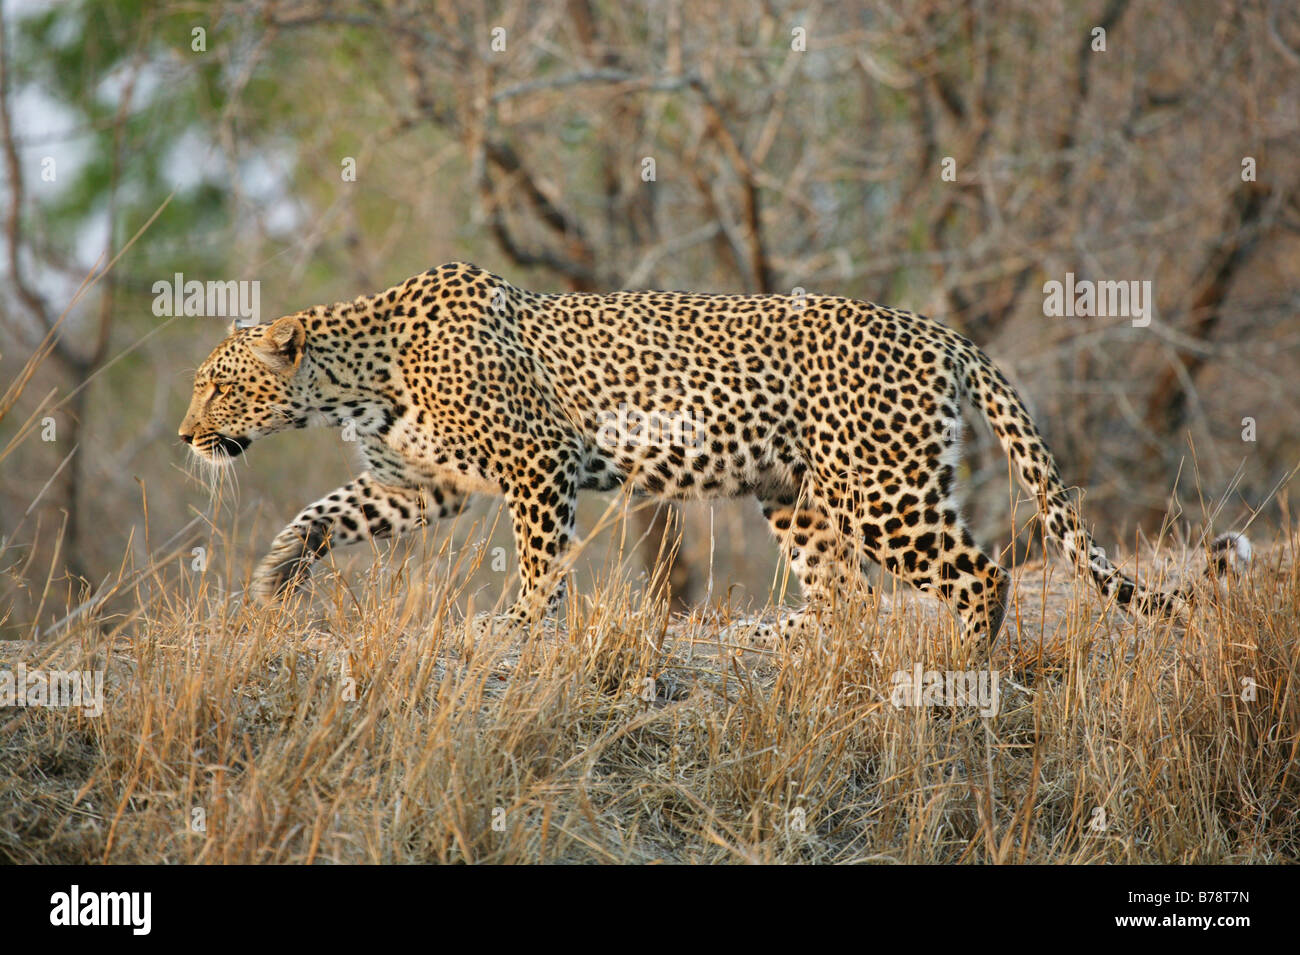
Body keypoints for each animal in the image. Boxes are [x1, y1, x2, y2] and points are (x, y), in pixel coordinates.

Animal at [178, 261, 1248, 643]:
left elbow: (538, 560)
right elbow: (323, 513)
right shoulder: (421, 485)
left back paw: (961, 669)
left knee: (981, 574)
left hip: (885, 491)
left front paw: (524, 627)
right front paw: (274, 577)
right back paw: (793, 642)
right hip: (798, 492)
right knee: (845, 597)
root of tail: (935, 327)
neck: (356, 380)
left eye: (218, 385)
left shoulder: (535, 463)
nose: (187, 434)